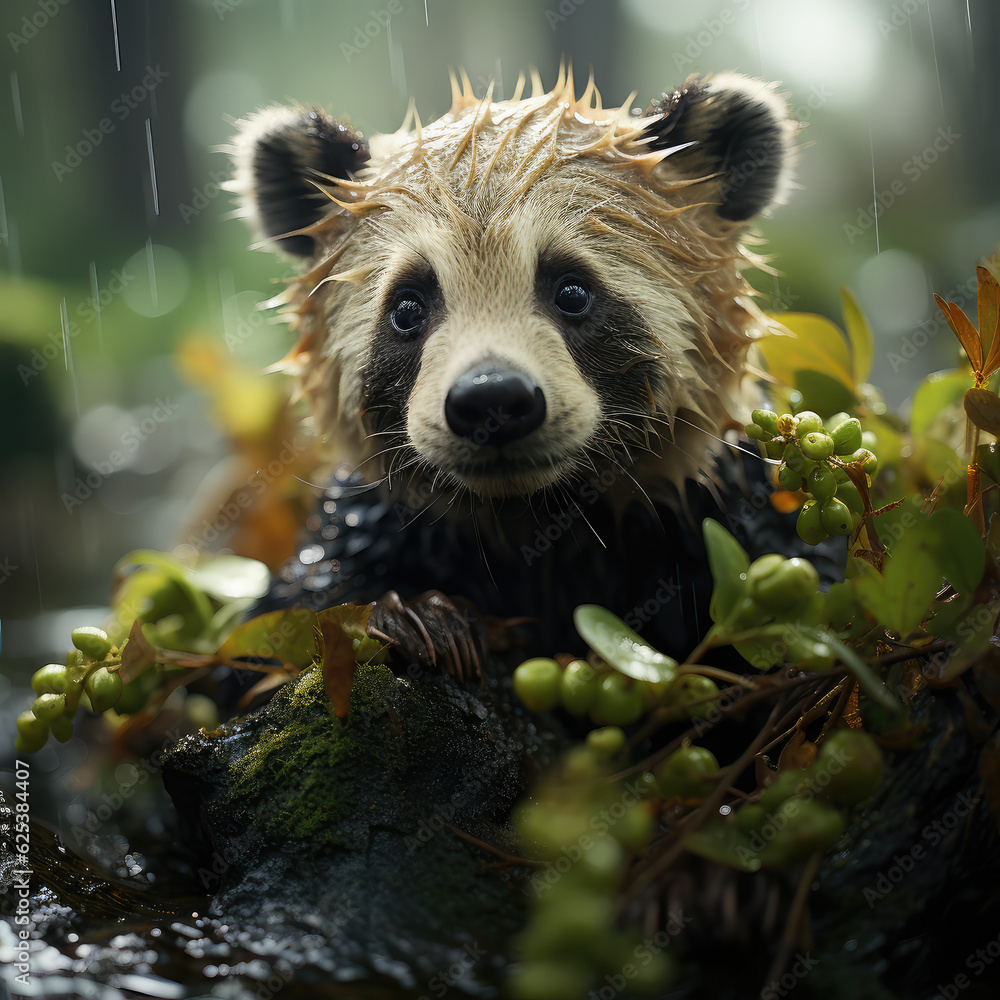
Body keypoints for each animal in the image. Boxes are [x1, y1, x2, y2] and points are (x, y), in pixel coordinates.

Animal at [228, 67, 834, 671]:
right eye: (407, 307)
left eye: (572, 291)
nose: (491, 401)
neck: (535, 514)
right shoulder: (371, 526)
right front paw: (419, 619)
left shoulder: (718, 509)